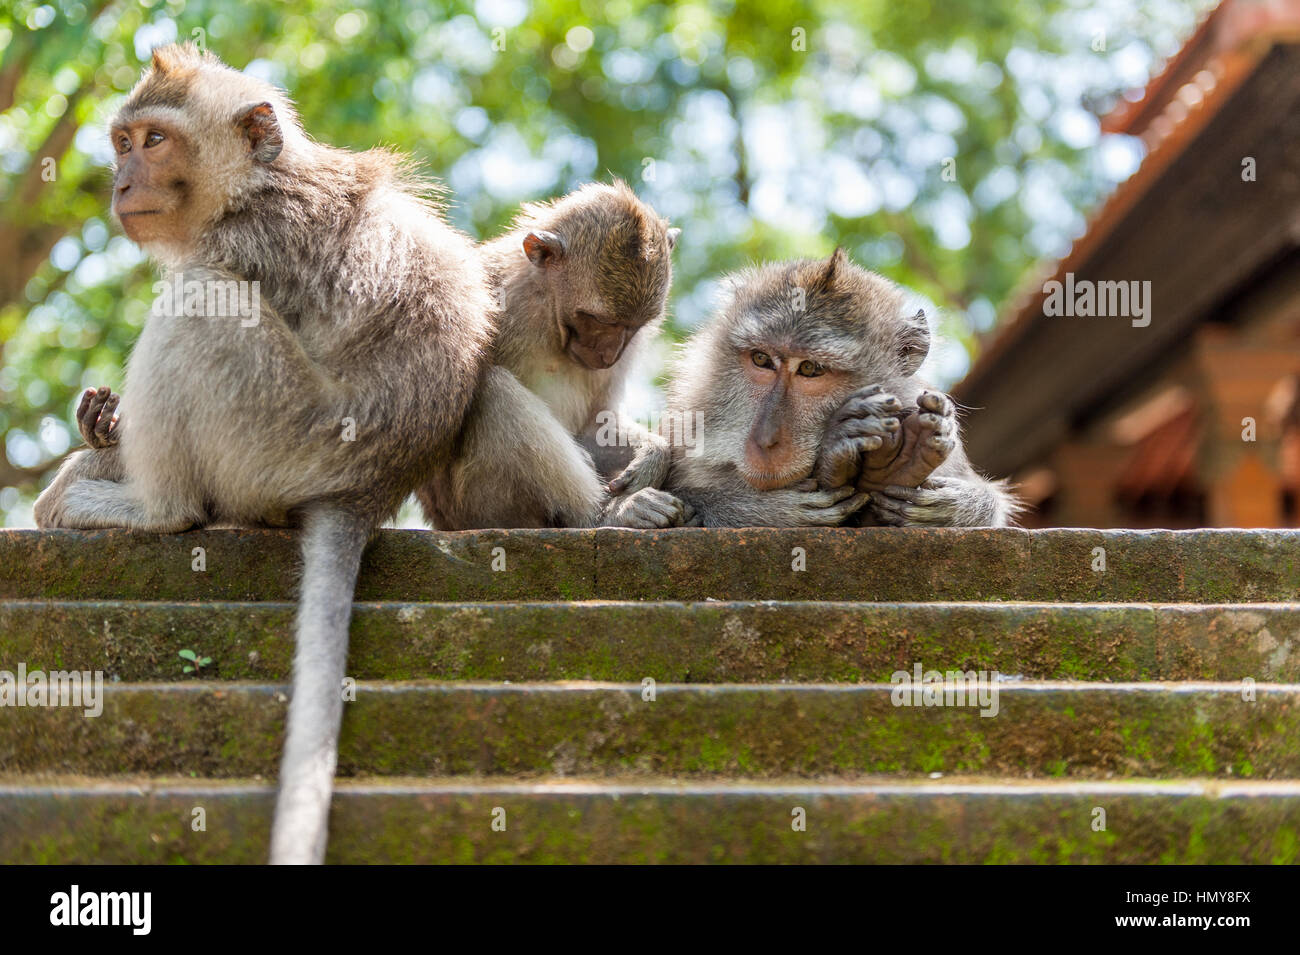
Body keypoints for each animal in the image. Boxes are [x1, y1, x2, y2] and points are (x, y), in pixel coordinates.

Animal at [31, 44, 495, 864]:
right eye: (123, 142)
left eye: (155, 141)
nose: (121, 182)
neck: (261, 184)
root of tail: (368, 490)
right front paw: (97, 427)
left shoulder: (246, 243)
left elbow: (208, 284)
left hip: (277, 433)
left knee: (201, 302)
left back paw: (148, 508)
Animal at [416, 181, 692, 531]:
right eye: (596, 319)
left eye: (634, 326)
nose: (608, 356)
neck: (546, 307)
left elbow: (596, 421)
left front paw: (653, 453)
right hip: (473, 505)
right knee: (492, 389)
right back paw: (604, 515)